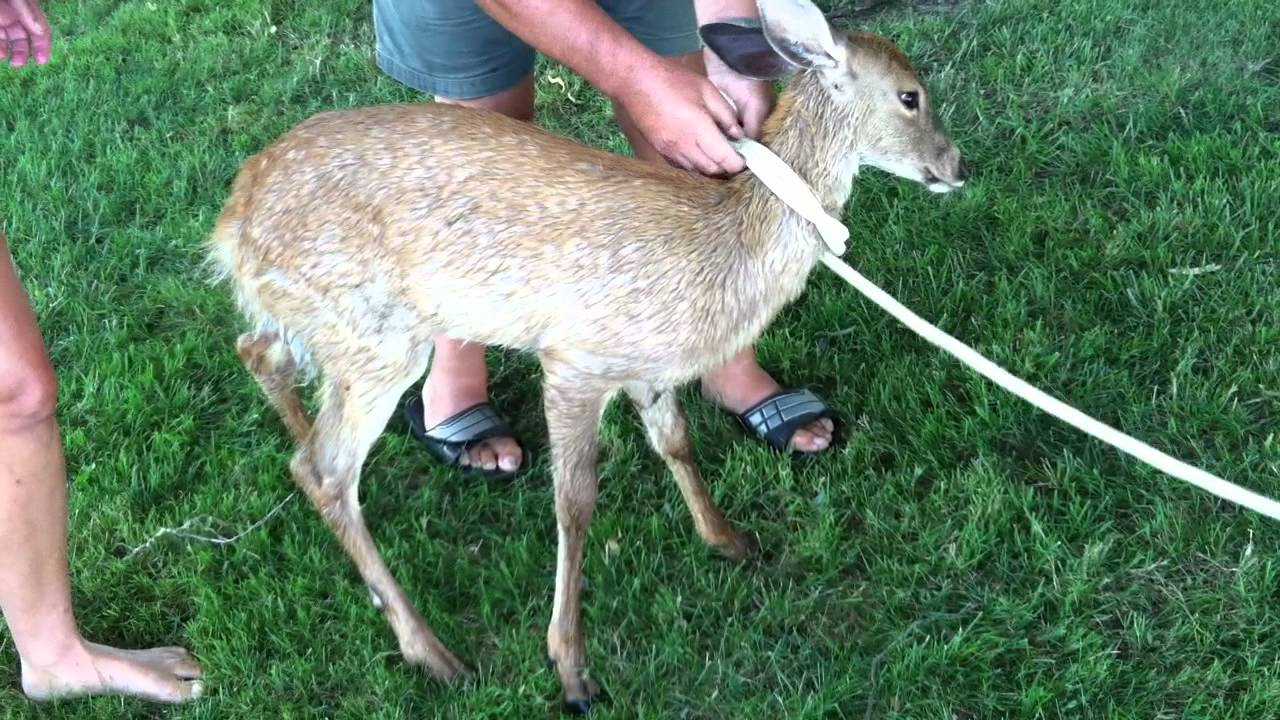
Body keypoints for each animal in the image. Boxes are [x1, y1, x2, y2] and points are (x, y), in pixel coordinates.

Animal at [207, 0, 964, 711]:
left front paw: (730, 540)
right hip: (376, 333)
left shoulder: (648, 367)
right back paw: (433, 652)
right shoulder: (576, 359)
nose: (957, 166)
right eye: (910, 95)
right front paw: (571, 669)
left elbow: (676, 441)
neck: (722, 251)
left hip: (318, 319)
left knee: (261, 356)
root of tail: (231, 221)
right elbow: (574, 502)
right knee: (324, 467)